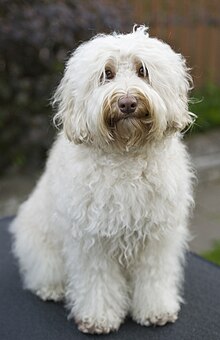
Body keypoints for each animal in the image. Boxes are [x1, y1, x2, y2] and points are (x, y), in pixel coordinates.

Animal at [10, 25, 196, 334]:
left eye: (142, 70)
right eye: (106, 73)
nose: (127, 102)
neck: (126, 154)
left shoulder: (157, 239)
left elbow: (153, 276)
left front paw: (155, 310)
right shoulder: (92, 240)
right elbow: (98, 281)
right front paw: (99, 317)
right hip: (41, 244)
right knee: (42, 271)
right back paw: (52, 289)